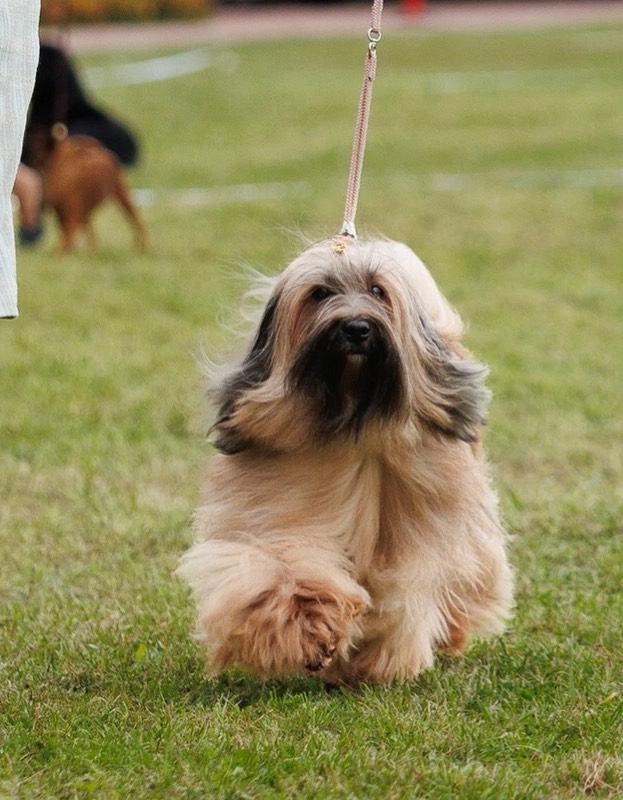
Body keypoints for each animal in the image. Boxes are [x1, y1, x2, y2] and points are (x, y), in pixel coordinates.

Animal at [33, 125, 148, 253]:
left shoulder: (73, 217)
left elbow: (63, 245)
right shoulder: (65, 216)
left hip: (121, 194)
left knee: (136, 219)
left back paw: (142, 248)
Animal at [178, 236, 516, 688]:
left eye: (377, 290)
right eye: (320, 293)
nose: (356, 328)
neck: (354, 421)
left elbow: (407, 591)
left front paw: (379, 661)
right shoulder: (280, 516)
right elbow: (283, 568)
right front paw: (309, 631)